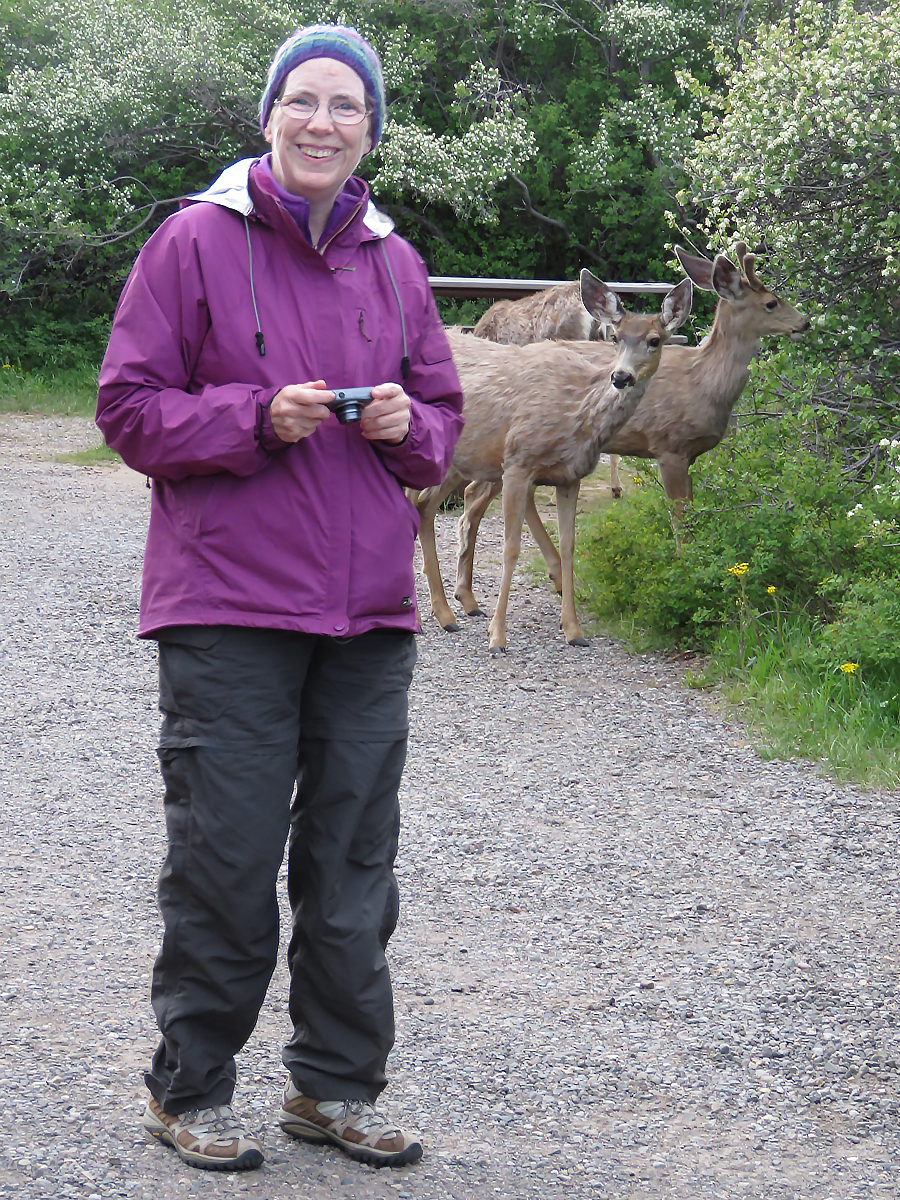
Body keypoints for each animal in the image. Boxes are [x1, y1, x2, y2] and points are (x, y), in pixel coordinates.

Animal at [413, 276, 693, 654]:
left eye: (654, 340)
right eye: (616, 337)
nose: (621, 377)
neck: (576, 410)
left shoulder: (570, 477)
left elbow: (569, 545)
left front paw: (574, 630)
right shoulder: (517, 462)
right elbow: (511, 547)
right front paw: (497, 637)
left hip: (457, 459)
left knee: (424, 507)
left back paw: (446, 615)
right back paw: (421, 616)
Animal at [453, 242, 811, 614]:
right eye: (771, 302)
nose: (805, 322)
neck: (703, 382)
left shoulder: (690, 455)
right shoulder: (669, 446)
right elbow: (680, 519)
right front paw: (687, 574)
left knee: (486, 493)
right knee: (479, 493)